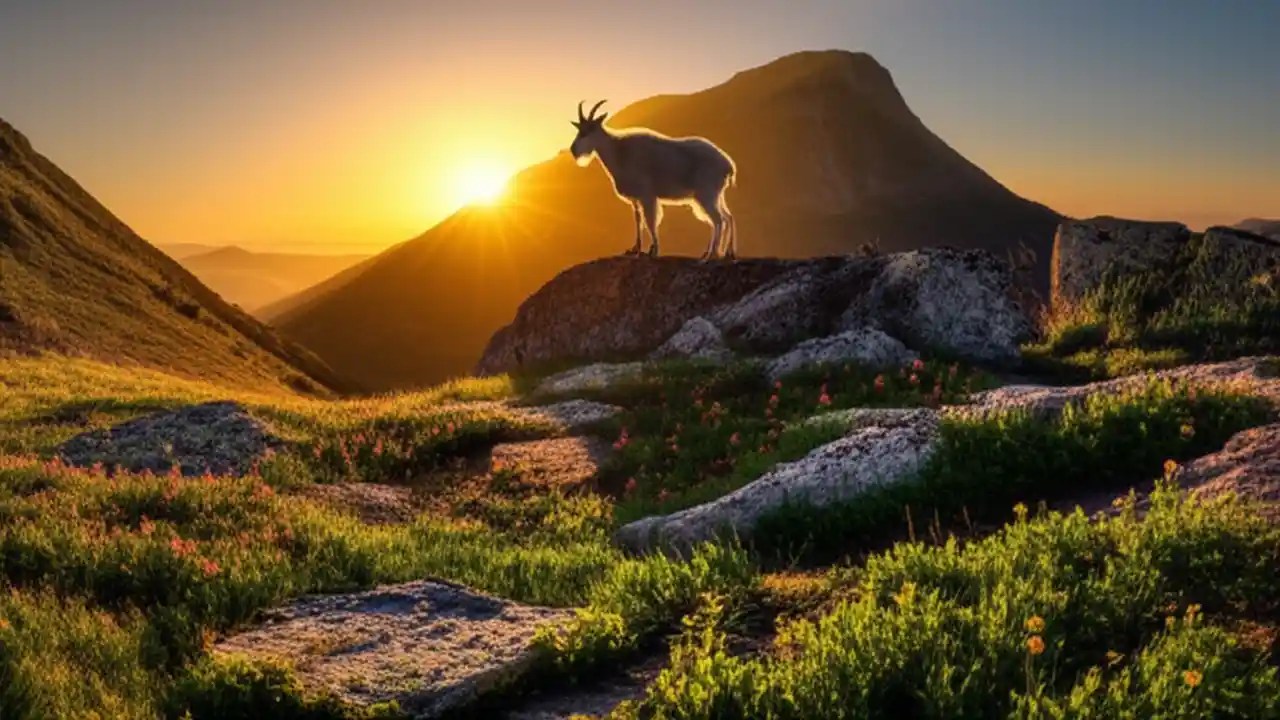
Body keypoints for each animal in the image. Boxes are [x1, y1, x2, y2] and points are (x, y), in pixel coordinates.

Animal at [569, 100, 738, 260]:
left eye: (588, 131)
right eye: (579, 130)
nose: (573, 150)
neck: (620, 152)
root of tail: (728, 165)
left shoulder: (647, 195)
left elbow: (650, 221)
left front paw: (654, 251)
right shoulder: (636, 199)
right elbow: (639, 220)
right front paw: (636, 249)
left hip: (706, 194)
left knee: (718, 220)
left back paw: (711, 255)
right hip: (716, 195)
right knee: (727, 216)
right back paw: (726, 253)